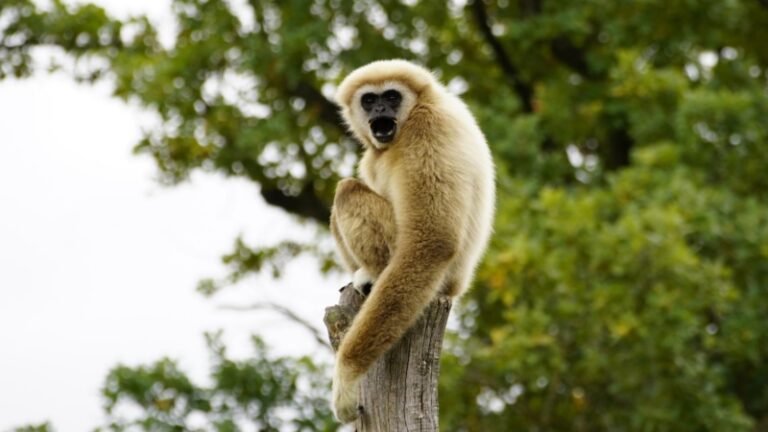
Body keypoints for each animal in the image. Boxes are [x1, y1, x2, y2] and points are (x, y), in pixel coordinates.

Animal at [329, 59, 495, 423]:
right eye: (369, 100)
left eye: (392, 96)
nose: (380, 109)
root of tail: (456, 288)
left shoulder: (427, 132)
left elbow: (432, 242)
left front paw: (347, 374)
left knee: (347, 191)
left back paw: (372, 276)